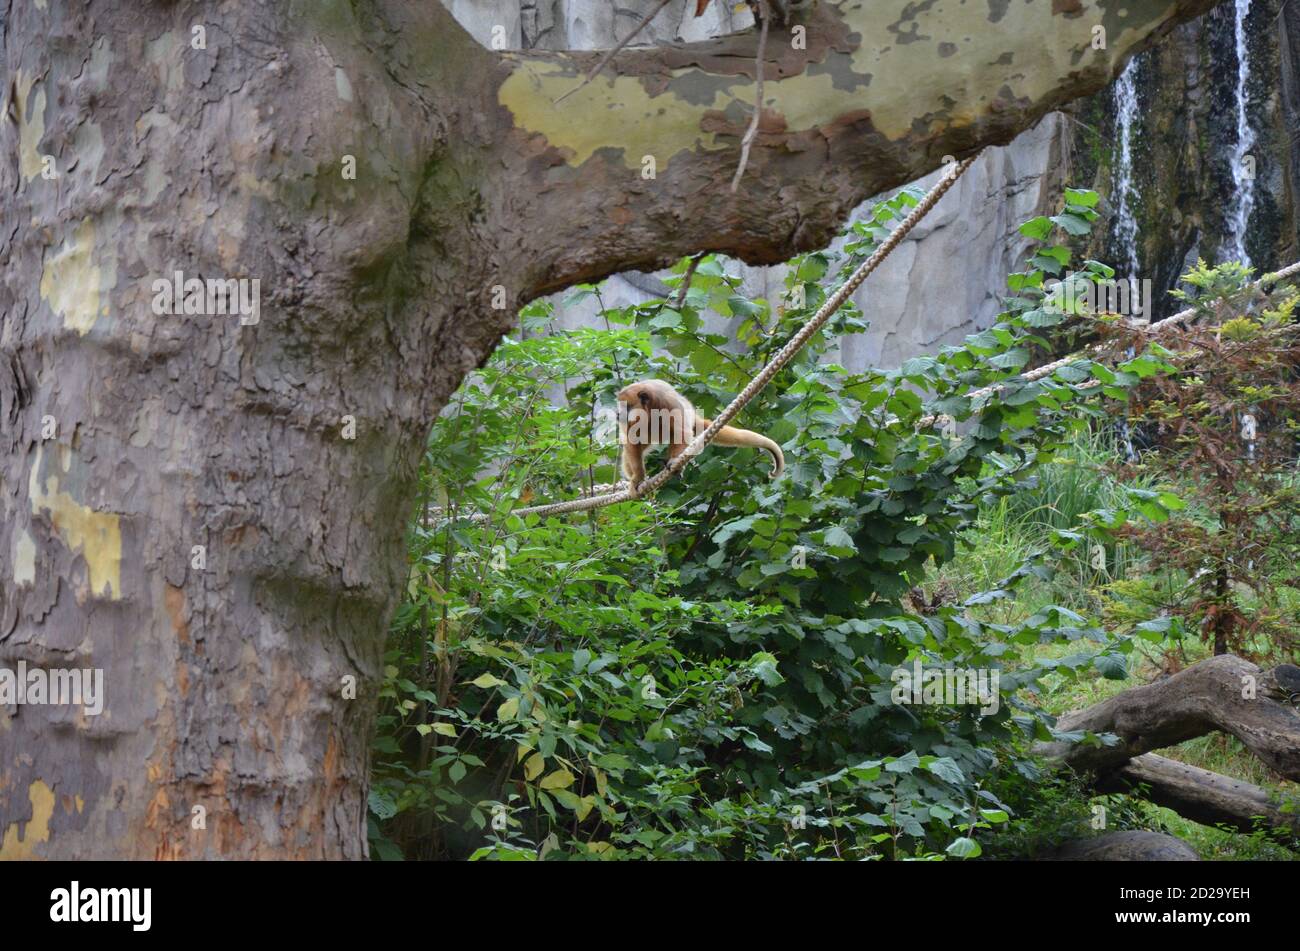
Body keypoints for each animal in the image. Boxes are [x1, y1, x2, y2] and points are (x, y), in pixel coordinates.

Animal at [616, 379, 784, 497]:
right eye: (620, 405)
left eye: (626, 405)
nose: (618, 413)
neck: (649, 410)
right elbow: (631, 443)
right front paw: (638, 478)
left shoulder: (668, 404)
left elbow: (681, 434)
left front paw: (673, 462)